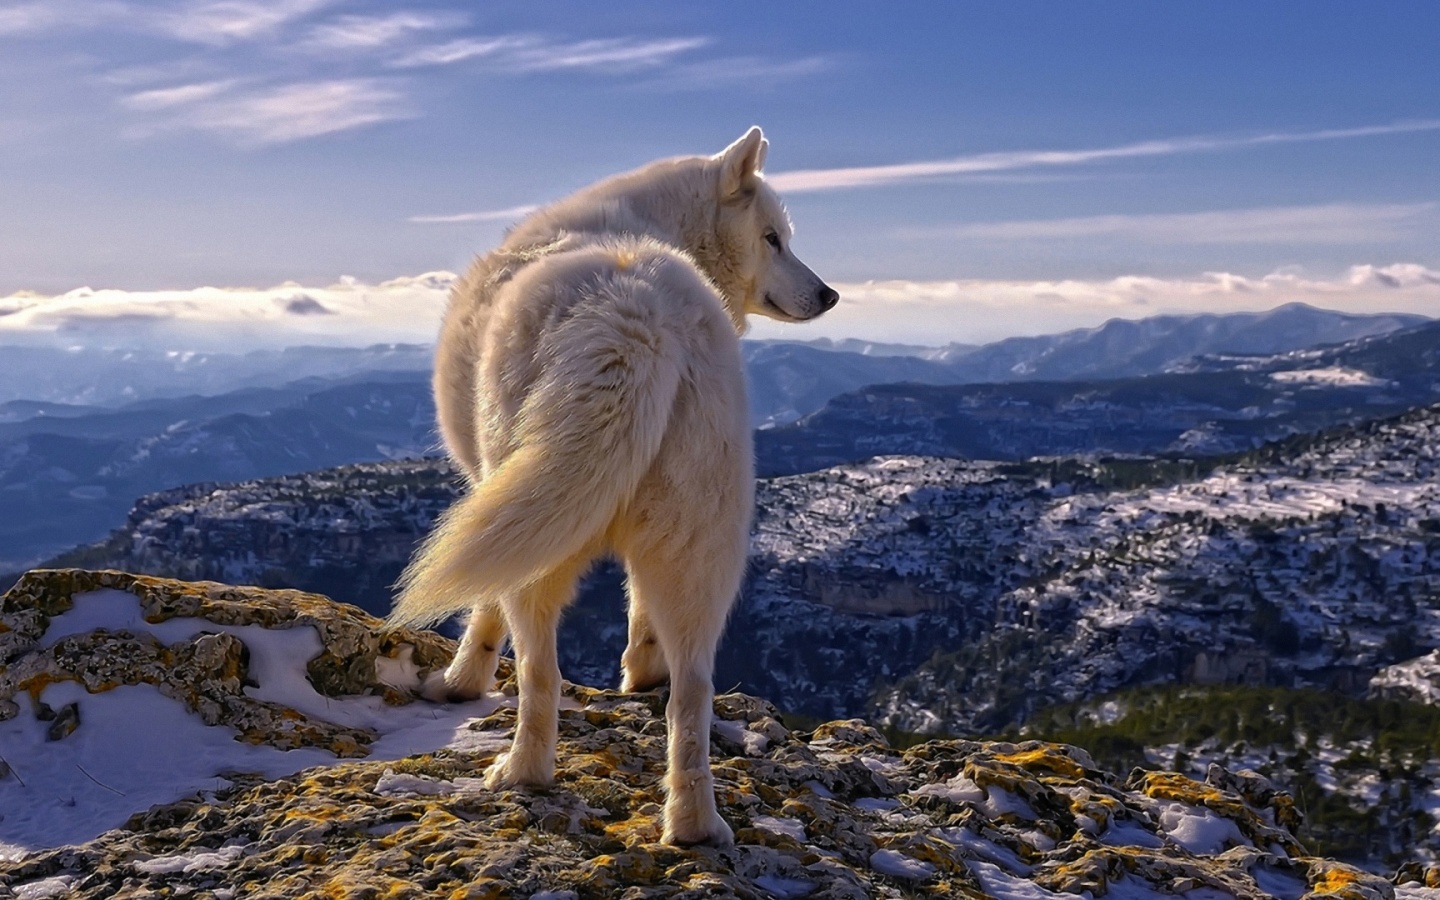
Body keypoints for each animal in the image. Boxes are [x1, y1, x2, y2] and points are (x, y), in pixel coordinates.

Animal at [388, 127, 837, 845]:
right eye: (773, 239)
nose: (829, 295)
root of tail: (637, 317)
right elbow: (638, 611)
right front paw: (641, 671)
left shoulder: (494, 491)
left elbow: (482, 611)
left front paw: (460, 682)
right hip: (700, 545)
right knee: (693, 689)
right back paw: (693, 823)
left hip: (542, 537)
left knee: (541, 671)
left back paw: (520, 773)